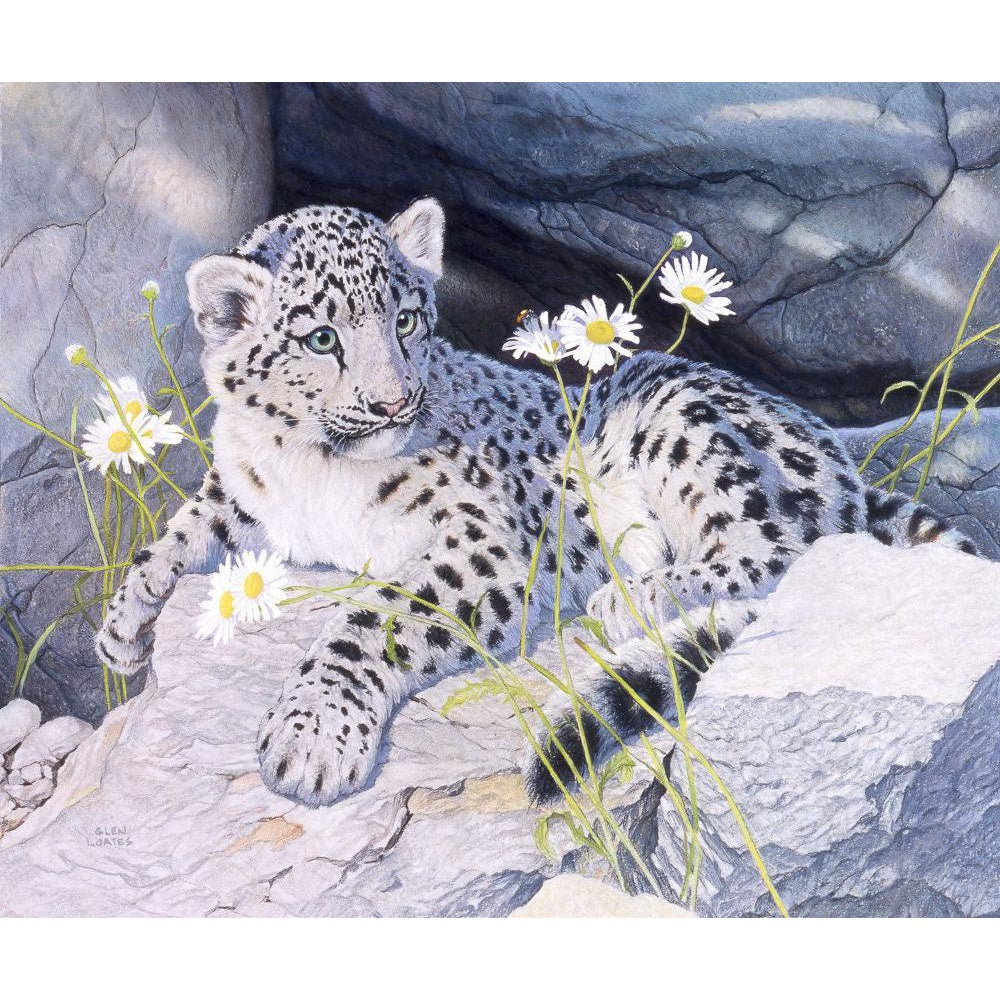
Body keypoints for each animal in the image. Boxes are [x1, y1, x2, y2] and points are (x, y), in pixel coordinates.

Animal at [94, 197, 977, 808]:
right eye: (321, 338)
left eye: (406, 318)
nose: (393, 402)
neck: (312, 468)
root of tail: (843, 463)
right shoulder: (243, 496)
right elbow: (180, 531)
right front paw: (122, 631)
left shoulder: (482, 547)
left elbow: (372, 619)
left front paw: (311, 738)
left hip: (683, 416)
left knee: (785, 548)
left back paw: (640, 596)